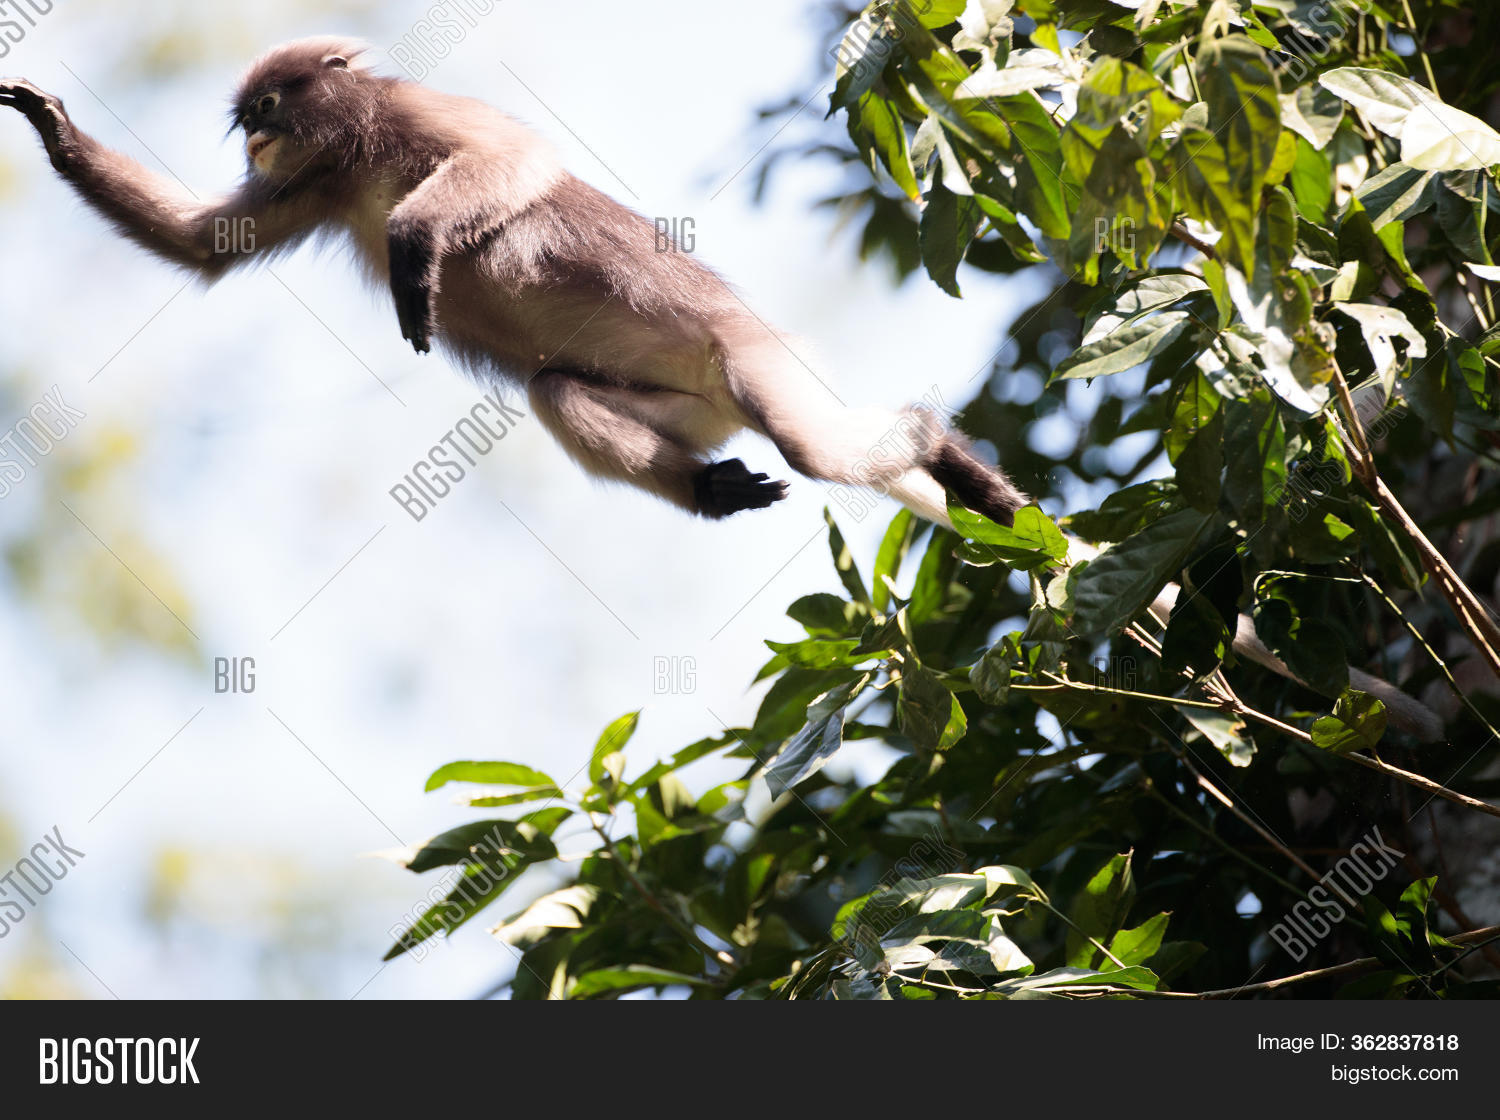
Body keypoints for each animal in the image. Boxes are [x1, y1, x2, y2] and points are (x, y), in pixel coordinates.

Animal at [0, 37, 1027, 528]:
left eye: (267, 108)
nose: (254, 136)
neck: (359, 154)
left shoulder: (410, 117)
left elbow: (517, 157)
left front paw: (415, 244)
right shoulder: (313, 183)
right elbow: (206, 244)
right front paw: (53, 130)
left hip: (755, 359)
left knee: (816, 445)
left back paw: (937, 444)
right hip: (694, 405)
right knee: (556, 389)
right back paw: (715, 490)